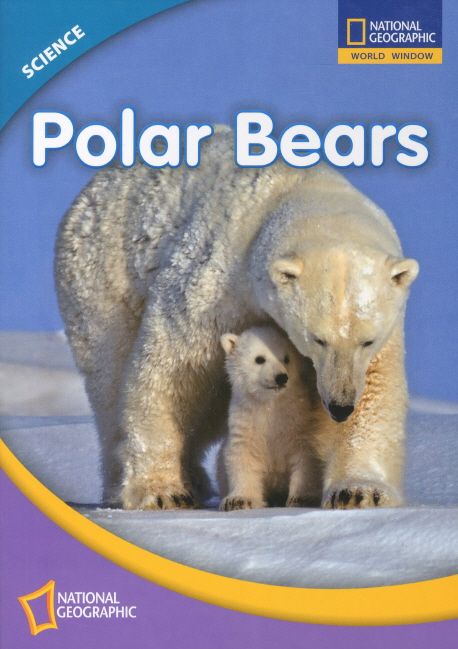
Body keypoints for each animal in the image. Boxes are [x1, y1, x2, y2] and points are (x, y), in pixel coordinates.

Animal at [218, 325, 320, 511]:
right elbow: (241, 455)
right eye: (259, 359)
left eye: (286, 358)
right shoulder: (245, 421)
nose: (281, 377)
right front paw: (238, 500)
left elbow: (306, 457)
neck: (269, 405)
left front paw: (302, 498)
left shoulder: (299, 422)